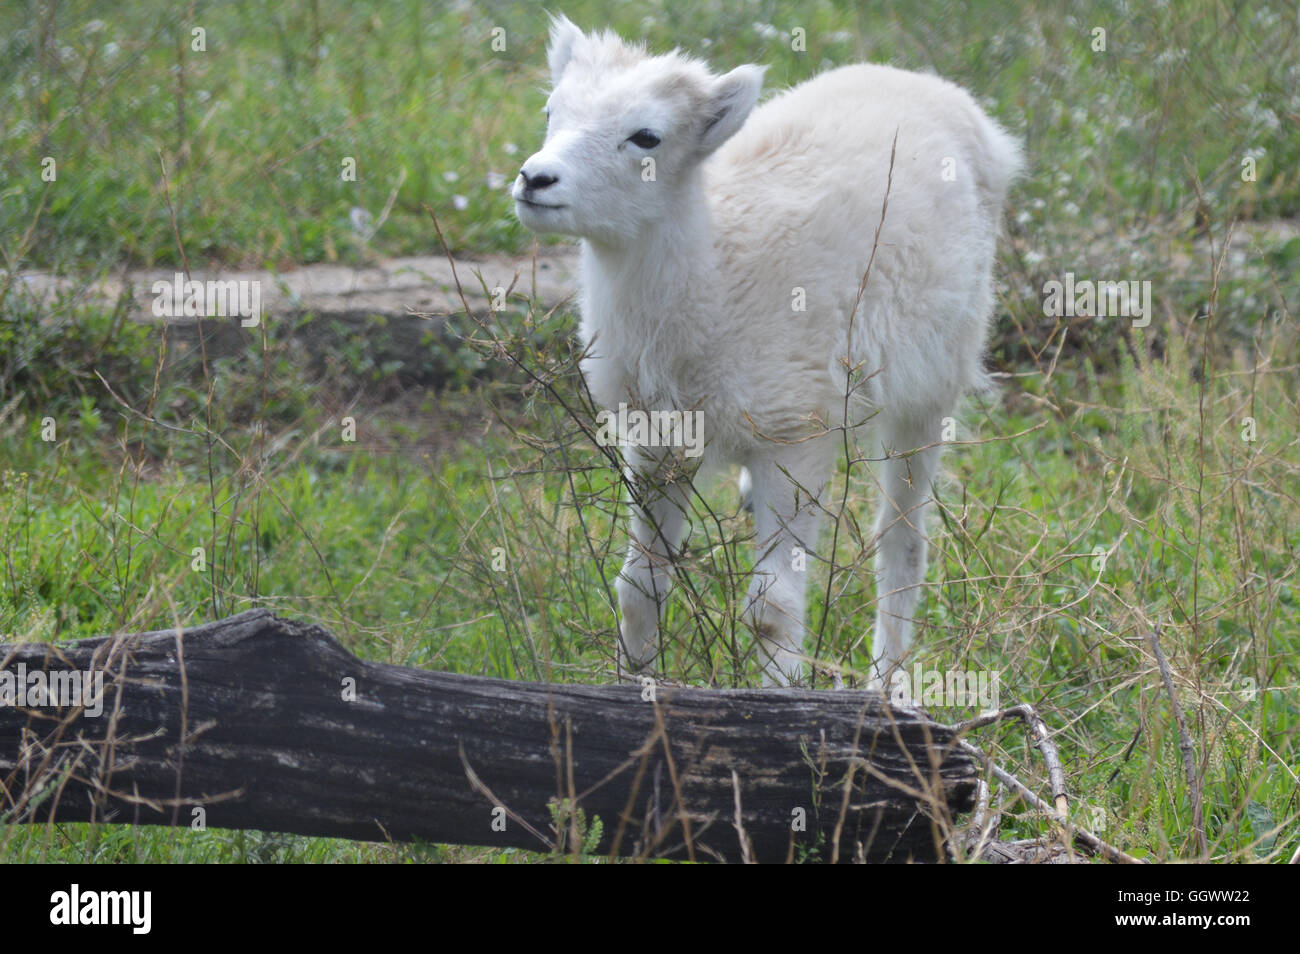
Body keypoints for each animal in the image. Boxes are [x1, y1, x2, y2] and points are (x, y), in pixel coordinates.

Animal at [512, 15, 1022, 688]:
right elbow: (638, 586)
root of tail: (940, 91)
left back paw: (885, 684)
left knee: (903, 542)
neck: (715, 269)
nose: (534, 180)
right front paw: (634, 690)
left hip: (934, 381)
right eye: (550, 111)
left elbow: (770, 609)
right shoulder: (655, 438)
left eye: (647, 137)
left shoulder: (796, 433)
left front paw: (780, 701)